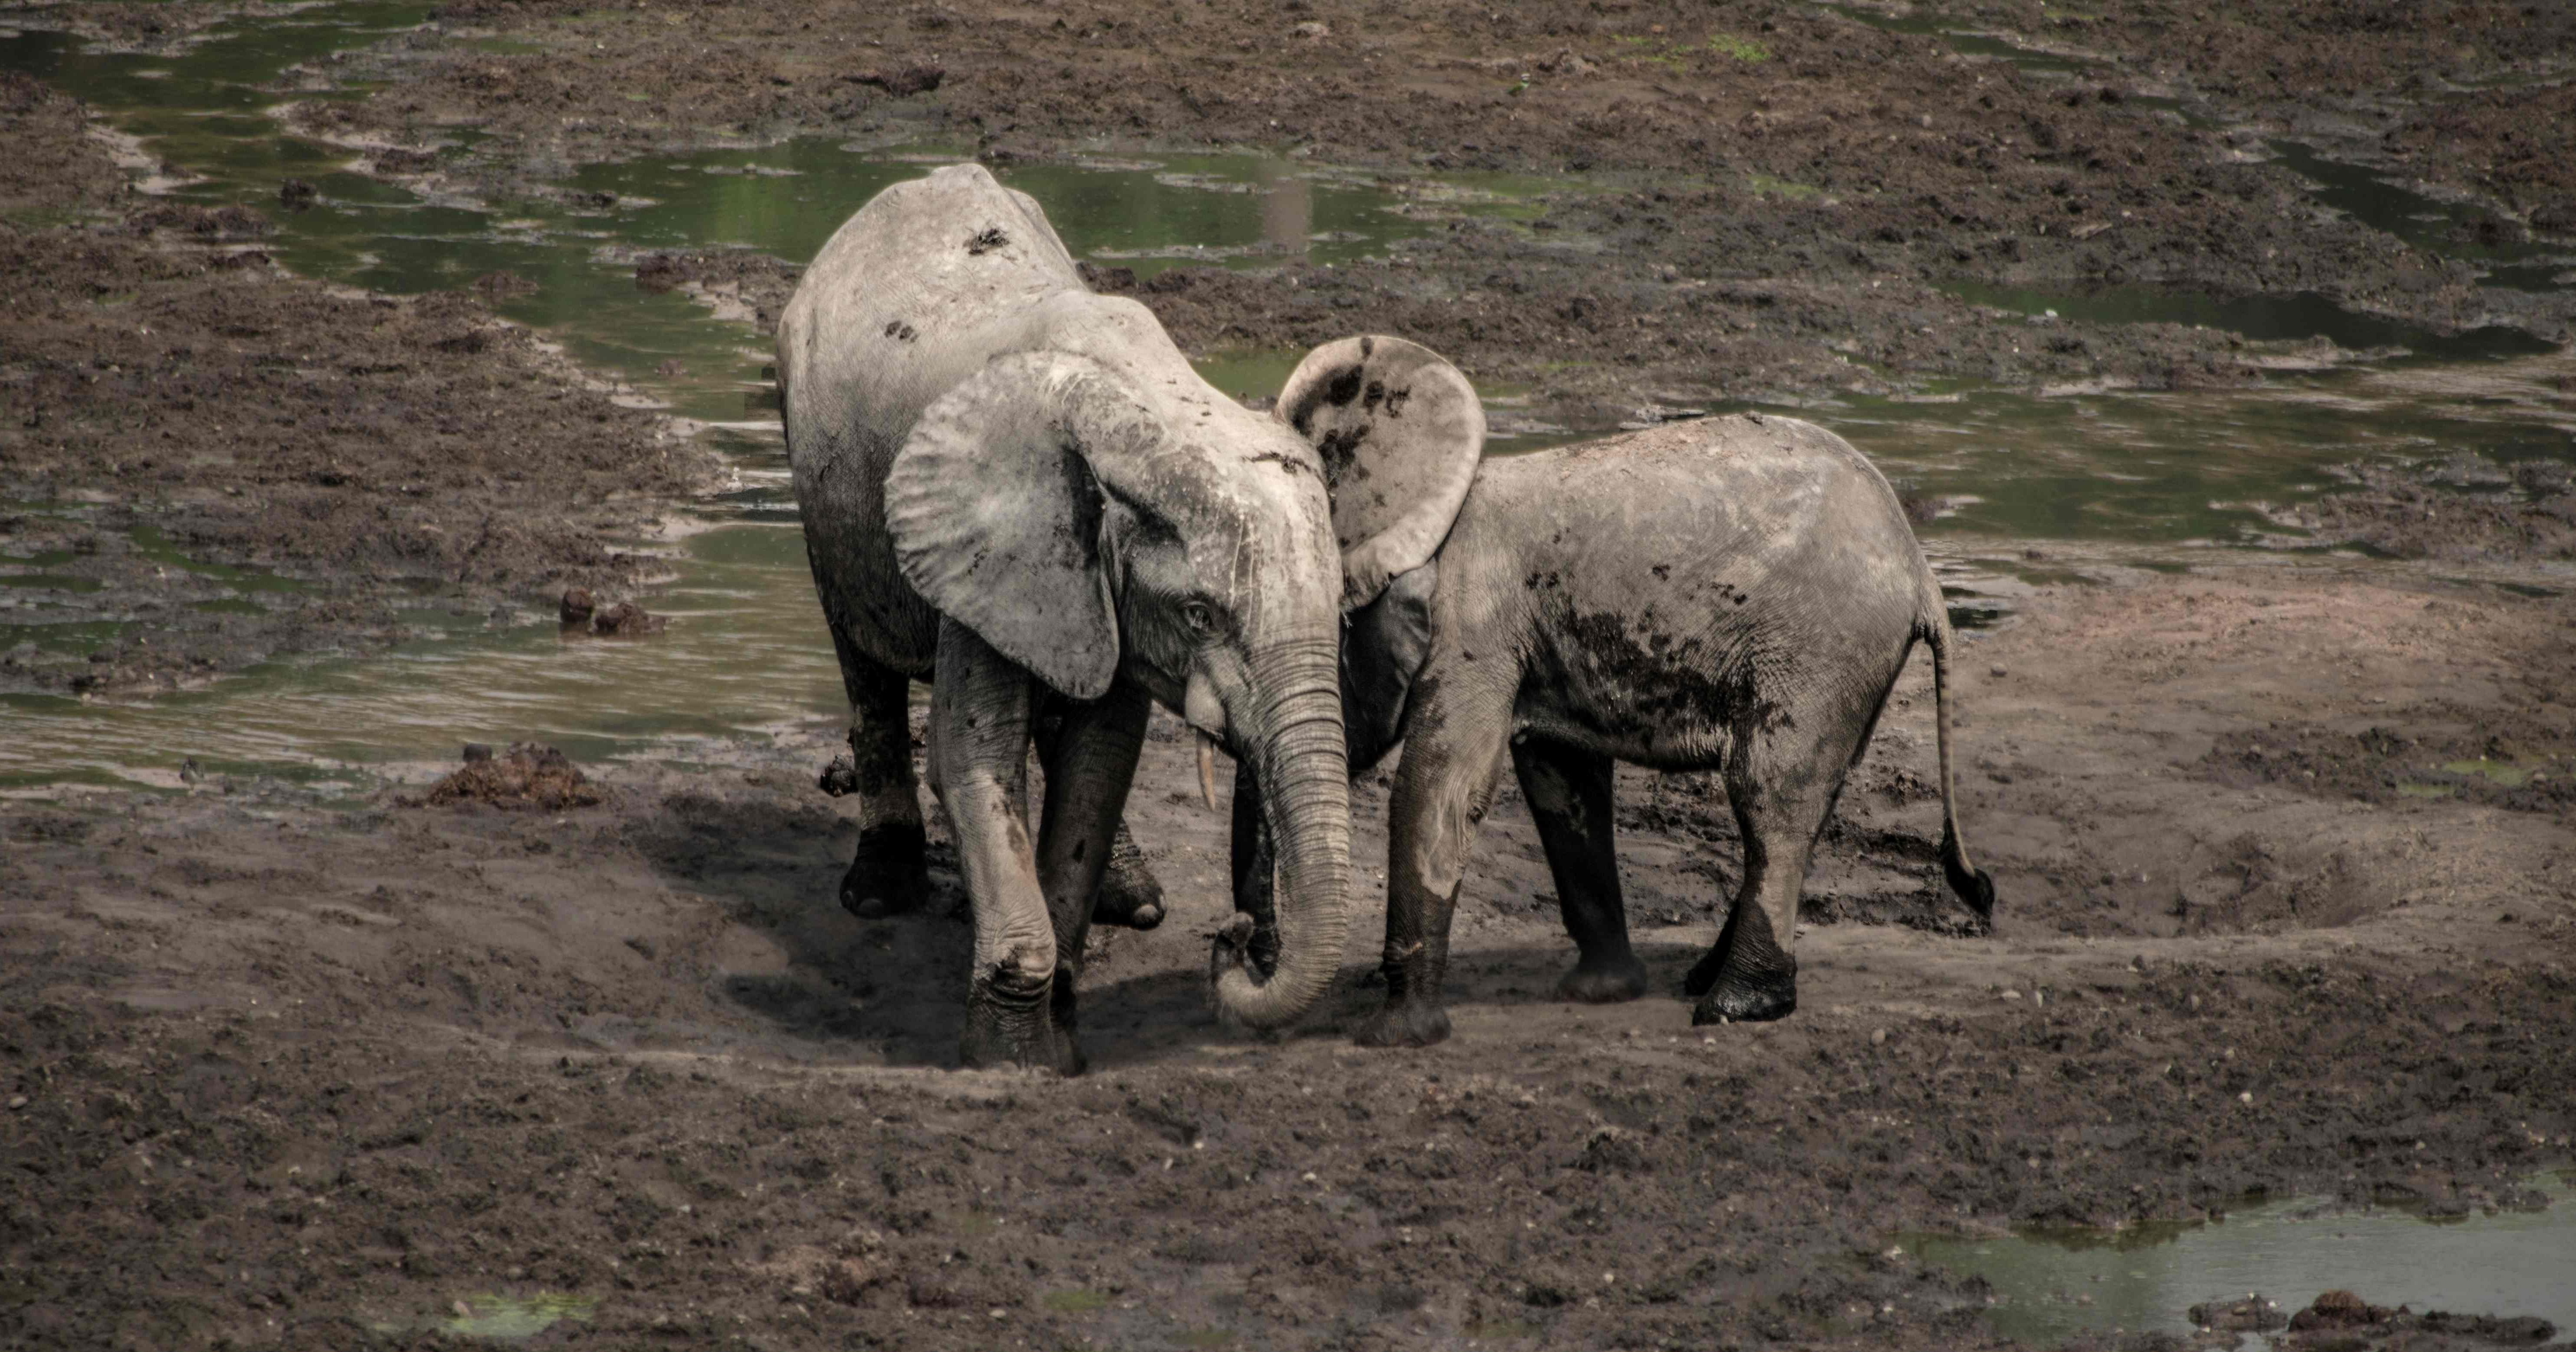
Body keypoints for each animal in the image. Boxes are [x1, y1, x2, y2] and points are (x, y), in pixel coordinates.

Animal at [775, 168, 1482, 1071]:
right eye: (1198, 612)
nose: (1237, 935)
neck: (1145, 415)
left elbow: (1102, 759)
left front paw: (1061, 1028)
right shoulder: (987, 541)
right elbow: (975, 759)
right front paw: (1012, 1057)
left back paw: (1136, 902)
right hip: (818, 471)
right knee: (862, 657)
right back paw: (877, 891)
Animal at [1224, 337, 1997, 1045]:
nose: (1236, 941)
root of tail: (1921, 572)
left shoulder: (1475, 624)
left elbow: (1441, 789)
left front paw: (1394, 1035)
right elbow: (1561, 782)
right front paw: (1600, 993)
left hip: (1820, 648)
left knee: (1769, 794)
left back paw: (1729, 1006)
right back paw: (1704, 979)